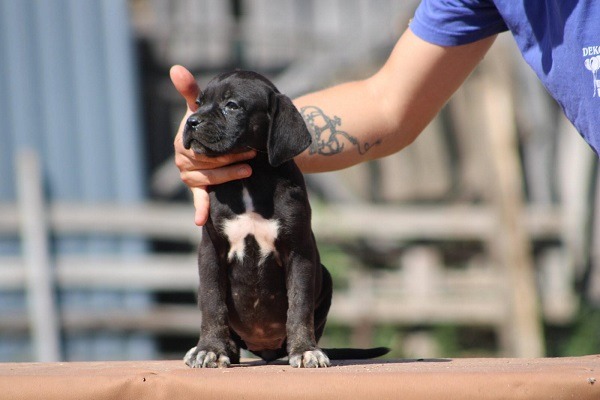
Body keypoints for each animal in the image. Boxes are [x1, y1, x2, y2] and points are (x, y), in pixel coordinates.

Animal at [183, 70, 386, 368]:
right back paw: (227, 349)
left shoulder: (298, 252)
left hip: (325, 276)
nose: (191, 121)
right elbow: (212, 303)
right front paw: (209, 348)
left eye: (232, 105)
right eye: (198, 103)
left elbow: (299, 306)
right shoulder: (211, 250)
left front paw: (305, 350)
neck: (250, 178)